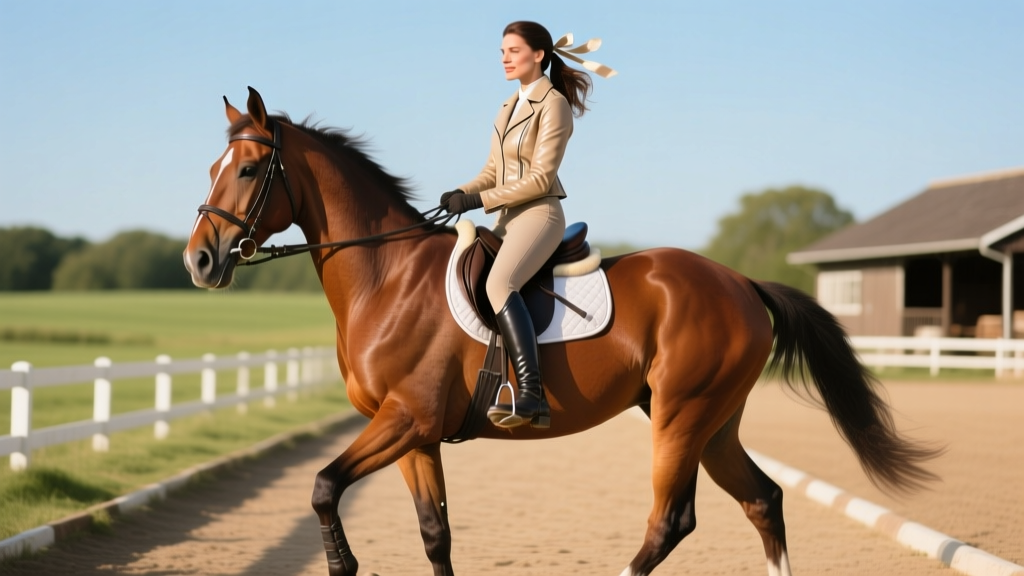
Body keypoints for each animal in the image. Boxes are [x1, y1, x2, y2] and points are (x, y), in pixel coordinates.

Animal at [183, 87, 939, 576]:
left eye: (247, 169)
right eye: (213, 167)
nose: (199, 261)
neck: (385, 277)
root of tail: (741, 283)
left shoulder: (407, 418)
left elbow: (321, 487)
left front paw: (343, 561)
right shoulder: (412, 434)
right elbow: (435, 534)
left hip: (682, 415)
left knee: (671, 521)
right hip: (713, 420)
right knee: (763, 500)